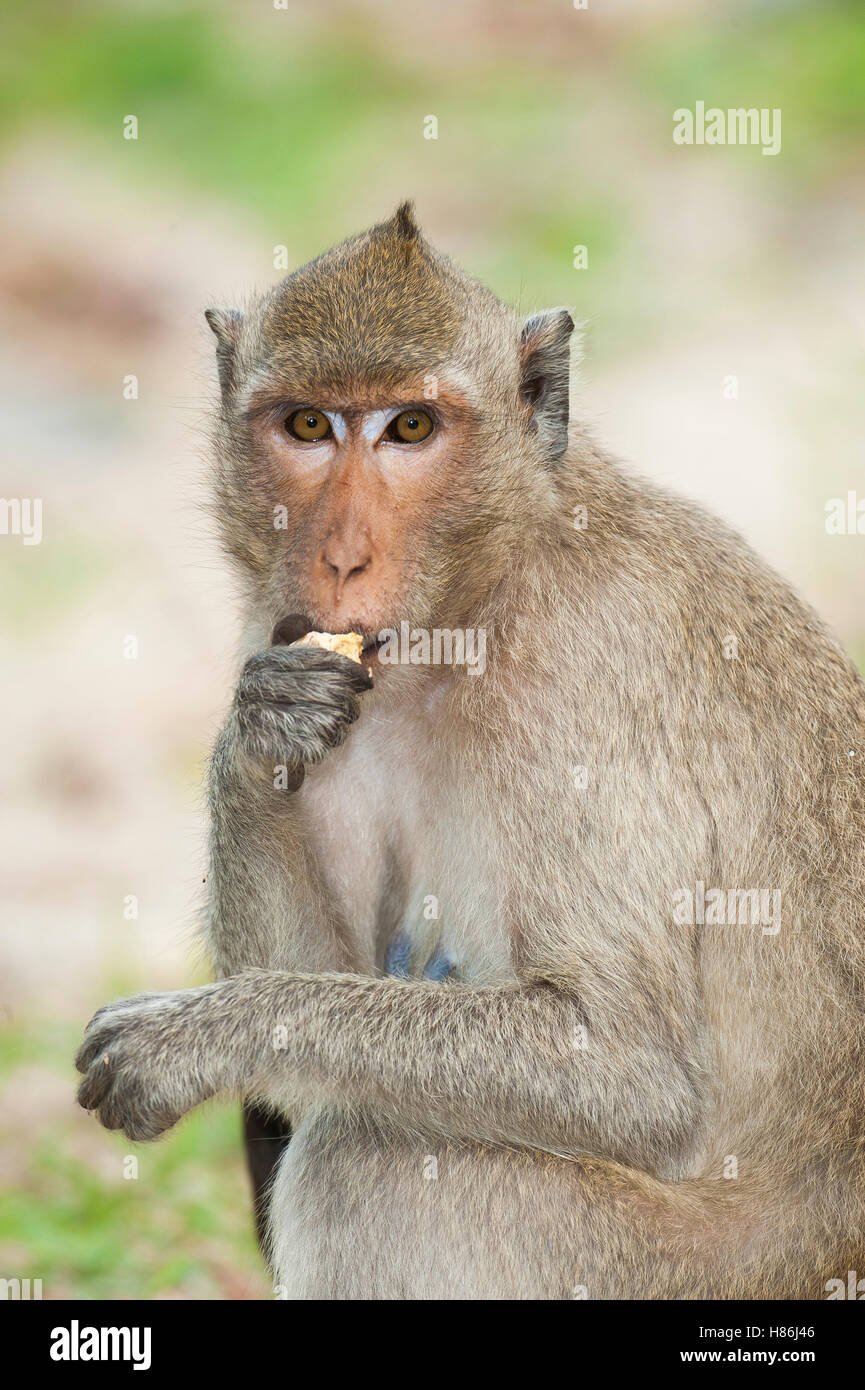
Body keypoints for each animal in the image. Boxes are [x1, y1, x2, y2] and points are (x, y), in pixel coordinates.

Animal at [76, 201, 865, 1300]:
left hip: (656, 1266)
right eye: (308, 425)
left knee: (365, 1159)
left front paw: (200, 1035)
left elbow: (629, 1072)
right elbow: (311, 1005)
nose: (340, 557)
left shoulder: (587, 687)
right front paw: (259, 727)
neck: (478, 604)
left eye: (410, 428)